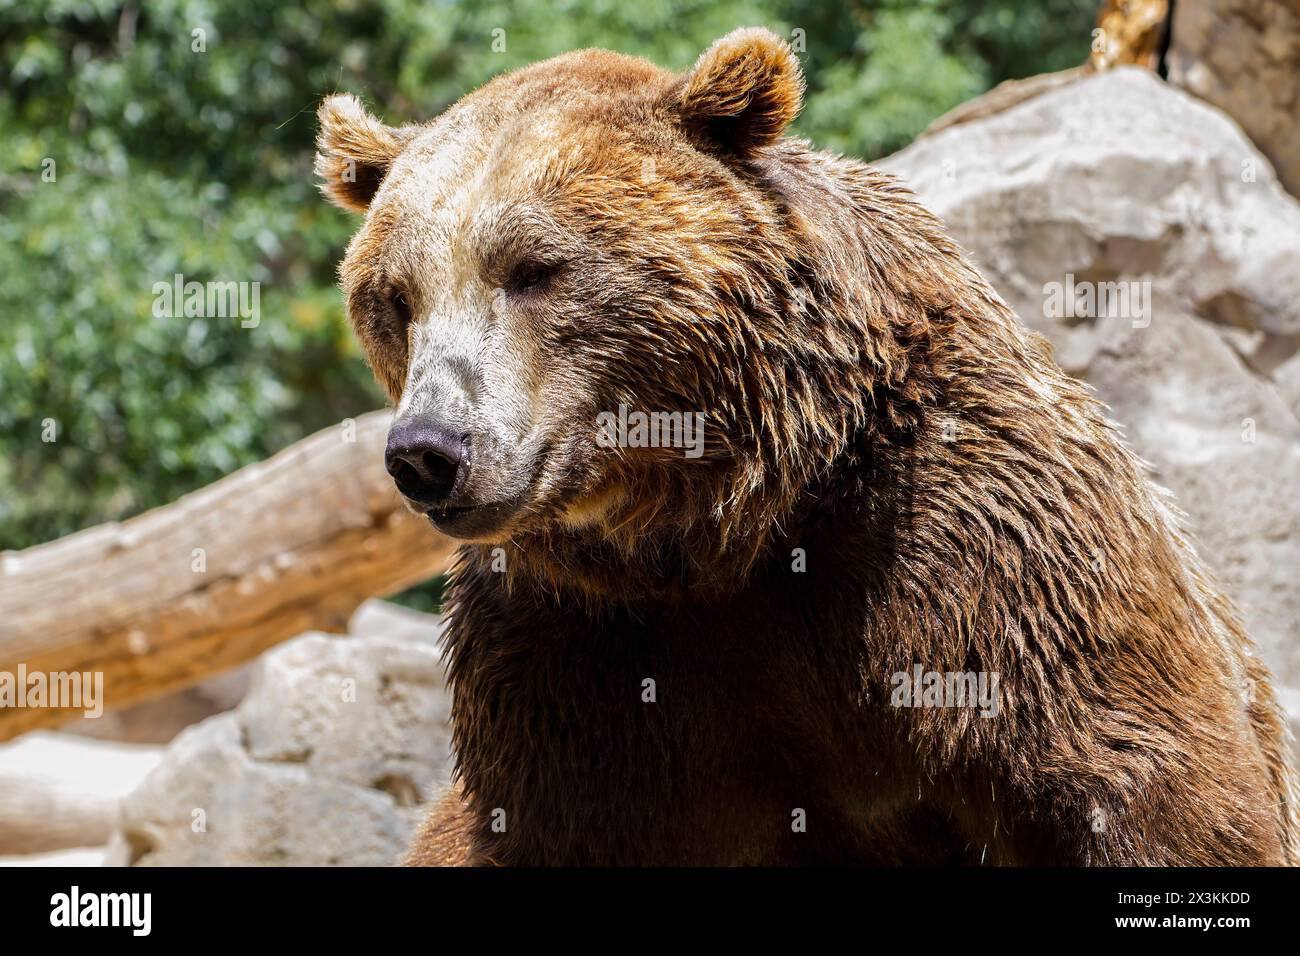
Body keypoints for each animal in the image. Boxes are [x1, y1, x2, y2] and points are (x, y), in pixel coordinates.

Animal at [316, 28, 1300, 865]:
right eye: (395, 296)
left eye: (532, 269)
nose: (429, 449)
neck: (722, 526)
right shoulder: (568, 652)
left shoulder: (979, 562)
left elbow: (1151, 792)